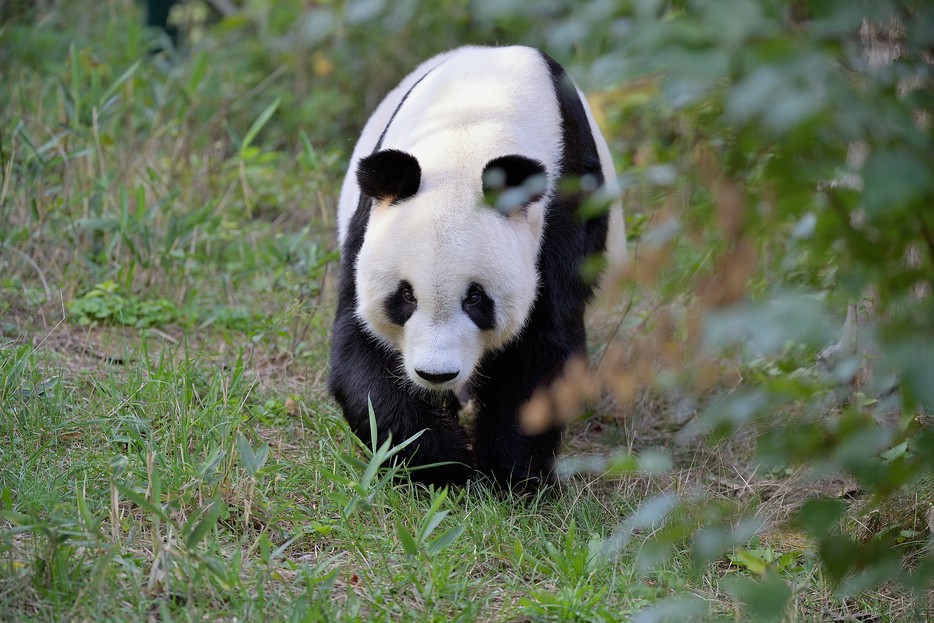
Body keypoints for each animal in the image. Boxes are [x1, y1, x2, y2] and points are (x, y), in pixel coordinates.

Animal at [329, 45, 625, 488]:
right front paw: (441, 464)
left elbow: (540, 346)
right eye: (405, 296)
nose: (436, 374)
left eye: (476, 299)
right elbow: (361, 346)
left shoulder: (561, 213)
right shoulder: (368, 227)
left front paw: (510, 477)